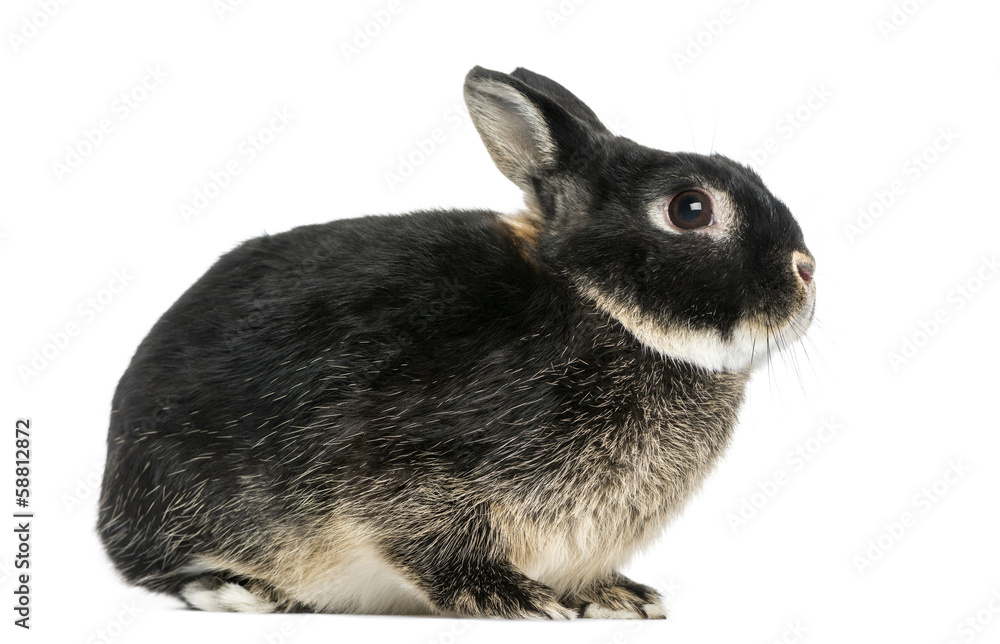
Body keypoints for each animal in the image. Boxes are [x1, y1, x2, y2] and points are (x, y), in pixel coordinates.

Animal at [98, 65, 816, 619]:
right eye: (691, 209)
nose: (806, 271)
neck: (596, 305)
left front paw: (619, 598)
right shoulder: (410, 472)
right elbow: (432, 540)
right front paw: (512, 599)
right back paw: (237, 590)